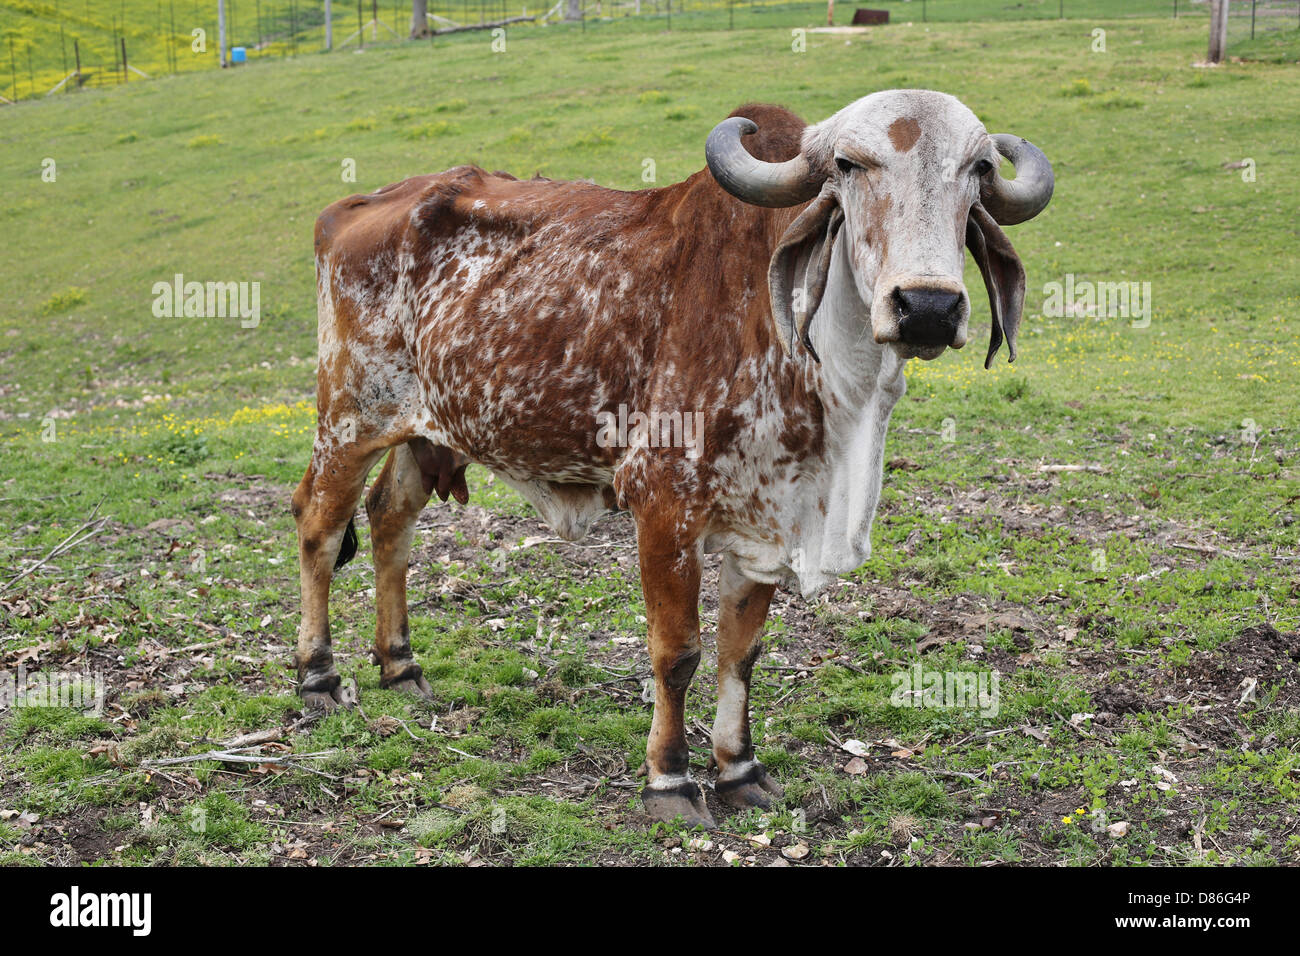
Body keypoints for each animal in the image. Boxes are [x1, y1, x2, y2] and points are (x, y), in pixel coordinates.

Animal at [292, 90, 1053, 828]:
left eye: (978, 170)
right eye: (847, 164)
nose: (926, 306)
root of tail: (355, 205)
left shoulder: (765, 519)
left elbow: (740, 654)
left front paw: (739, 770)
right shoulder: (664, 507)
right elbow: (678, 653)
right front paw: (670, 779)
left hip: (426, 431)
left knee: (390, 523)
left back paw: (399, 667)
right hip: (350, 419)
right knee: (319, 527)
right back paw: (319, 676)